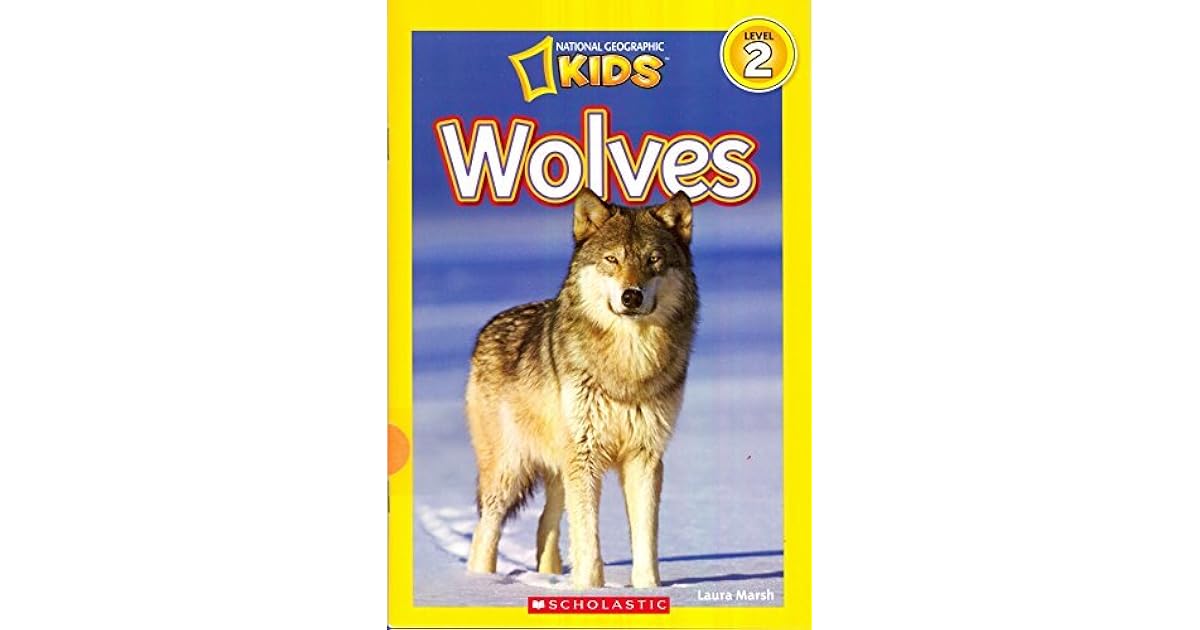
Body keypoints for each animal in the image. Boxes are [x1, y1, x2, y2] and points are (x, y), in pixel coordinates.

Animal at [464, 188, 698, 589]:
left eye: (653, 260)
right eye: (611, 259)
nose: (631, 296)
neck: (627, 364)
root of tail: (488, 326)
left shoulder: (644, 457)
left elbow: (645, 538)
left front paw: (649, 588)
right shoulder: (585, 458)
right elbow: (588, 539)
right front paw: (590, 589)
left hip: (558, 472)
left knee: (547, 524)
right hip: (509, 472)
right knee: (485, 532)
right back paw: (480, 585)